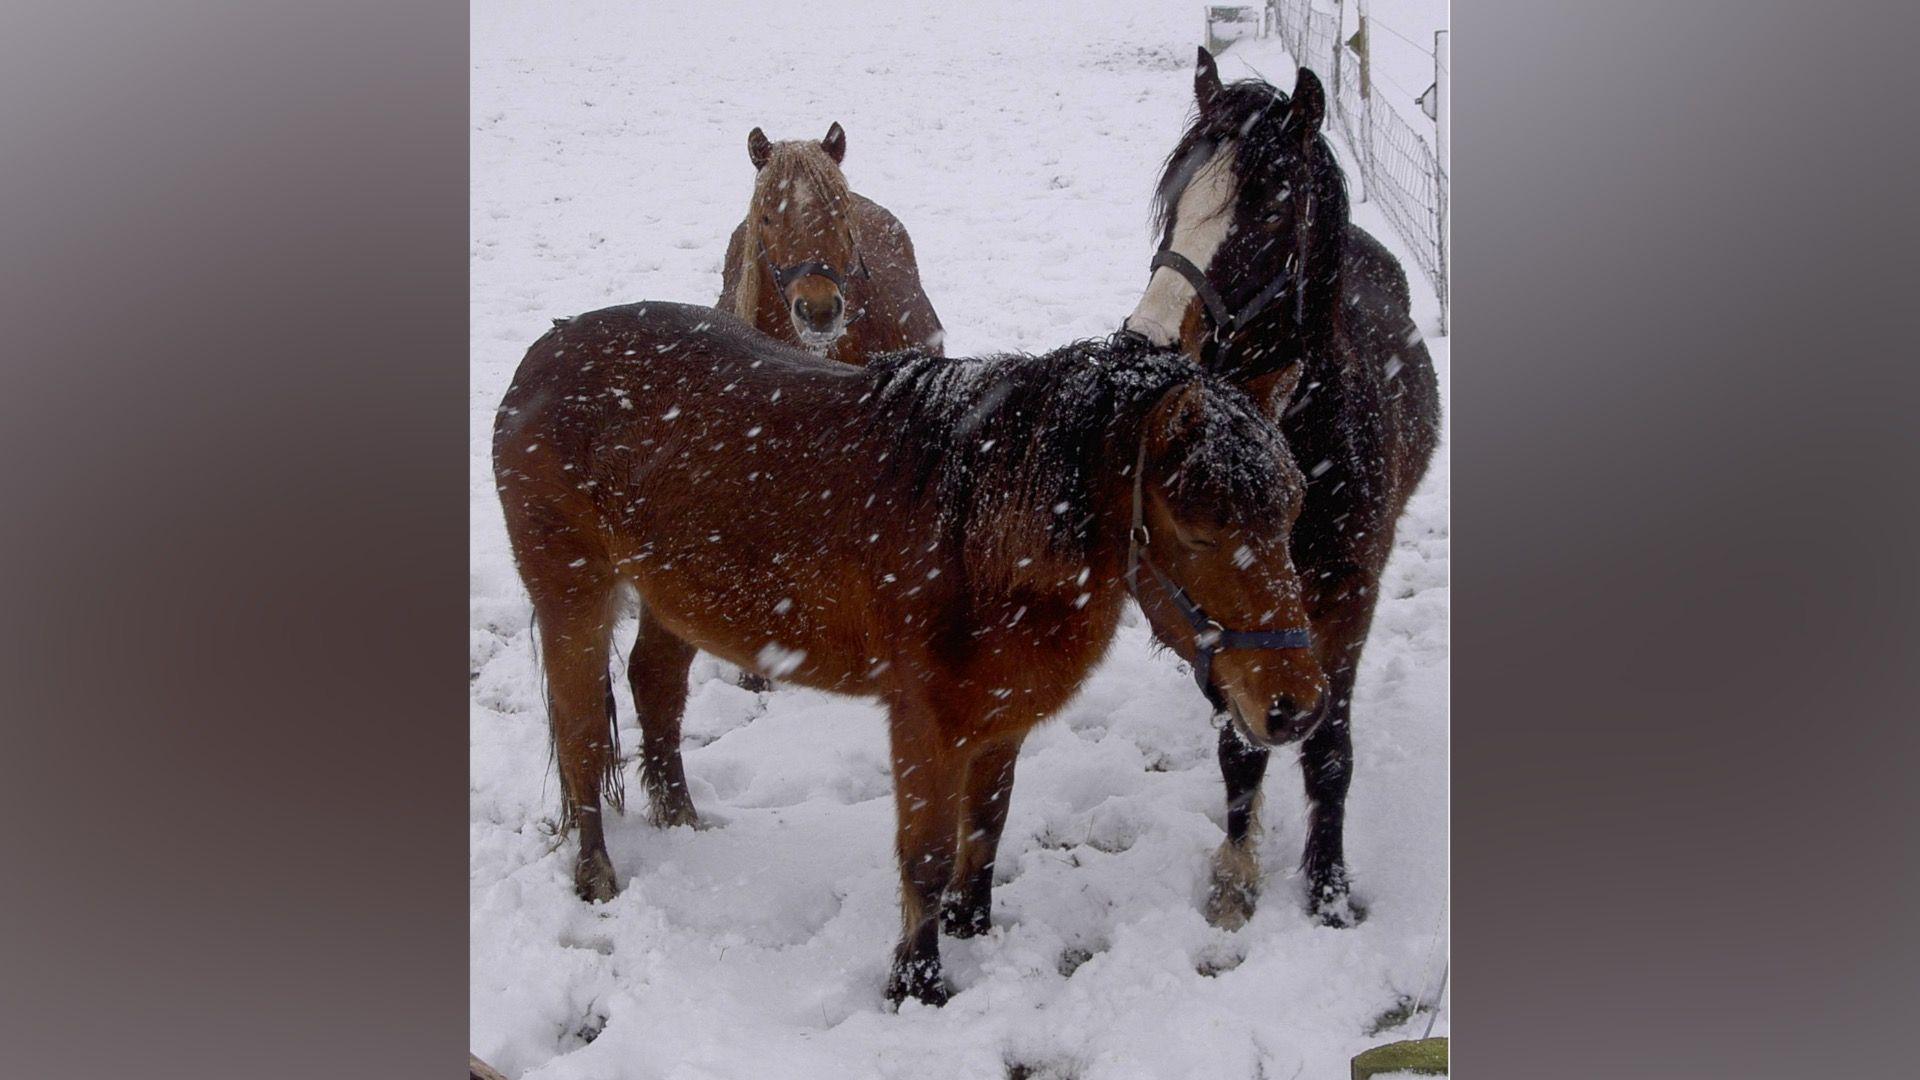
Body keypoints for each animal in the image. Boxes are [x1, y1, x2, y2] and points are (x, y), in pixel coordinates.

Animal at [493, 303, 1324, 1005]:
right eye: (1199, 530)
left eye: (1292, 511)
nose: (1298, 709)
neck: (977, 534)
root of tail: (540, 357)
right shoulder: (924, 724)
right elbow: (924, 855)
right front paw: (917, 985)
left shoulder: (1001, 719)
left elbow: (985, 826)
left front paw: (972, 928)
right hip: (574, 599)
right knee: (579, 732)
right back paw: (597, 878)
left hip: (675, 599)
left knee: (656, 688)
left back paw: (684, 823)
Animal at [1120, 51, 1442, 930]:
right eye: (1173, 204)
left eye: (1265, 216)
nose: (1142, 344)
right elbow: (1241, 742)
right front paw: (1236, 879)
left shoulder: (1349, 595)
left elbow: (1328, 745)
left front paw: (1327, 888)